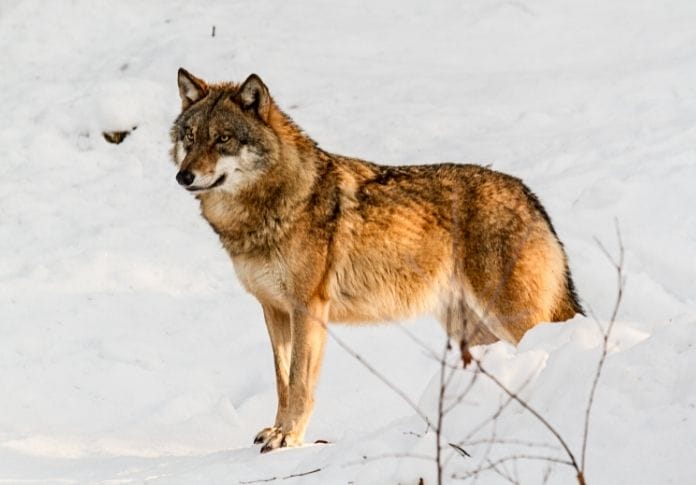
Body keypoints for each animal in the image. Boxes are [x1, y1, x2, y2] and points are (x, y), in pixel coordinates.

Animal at [170, 69, 583, 452]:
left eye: (223, 138)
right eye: (190, 136)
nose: (183, 176)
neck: (272, 206)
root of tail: (531, 197)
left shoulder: (308, 308)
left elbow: (300, 382)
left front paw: (289, 438)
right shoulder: (273, 309)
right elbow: (282, 381)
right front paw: (277, 431)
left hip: (512, 318)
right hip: (471, 331)